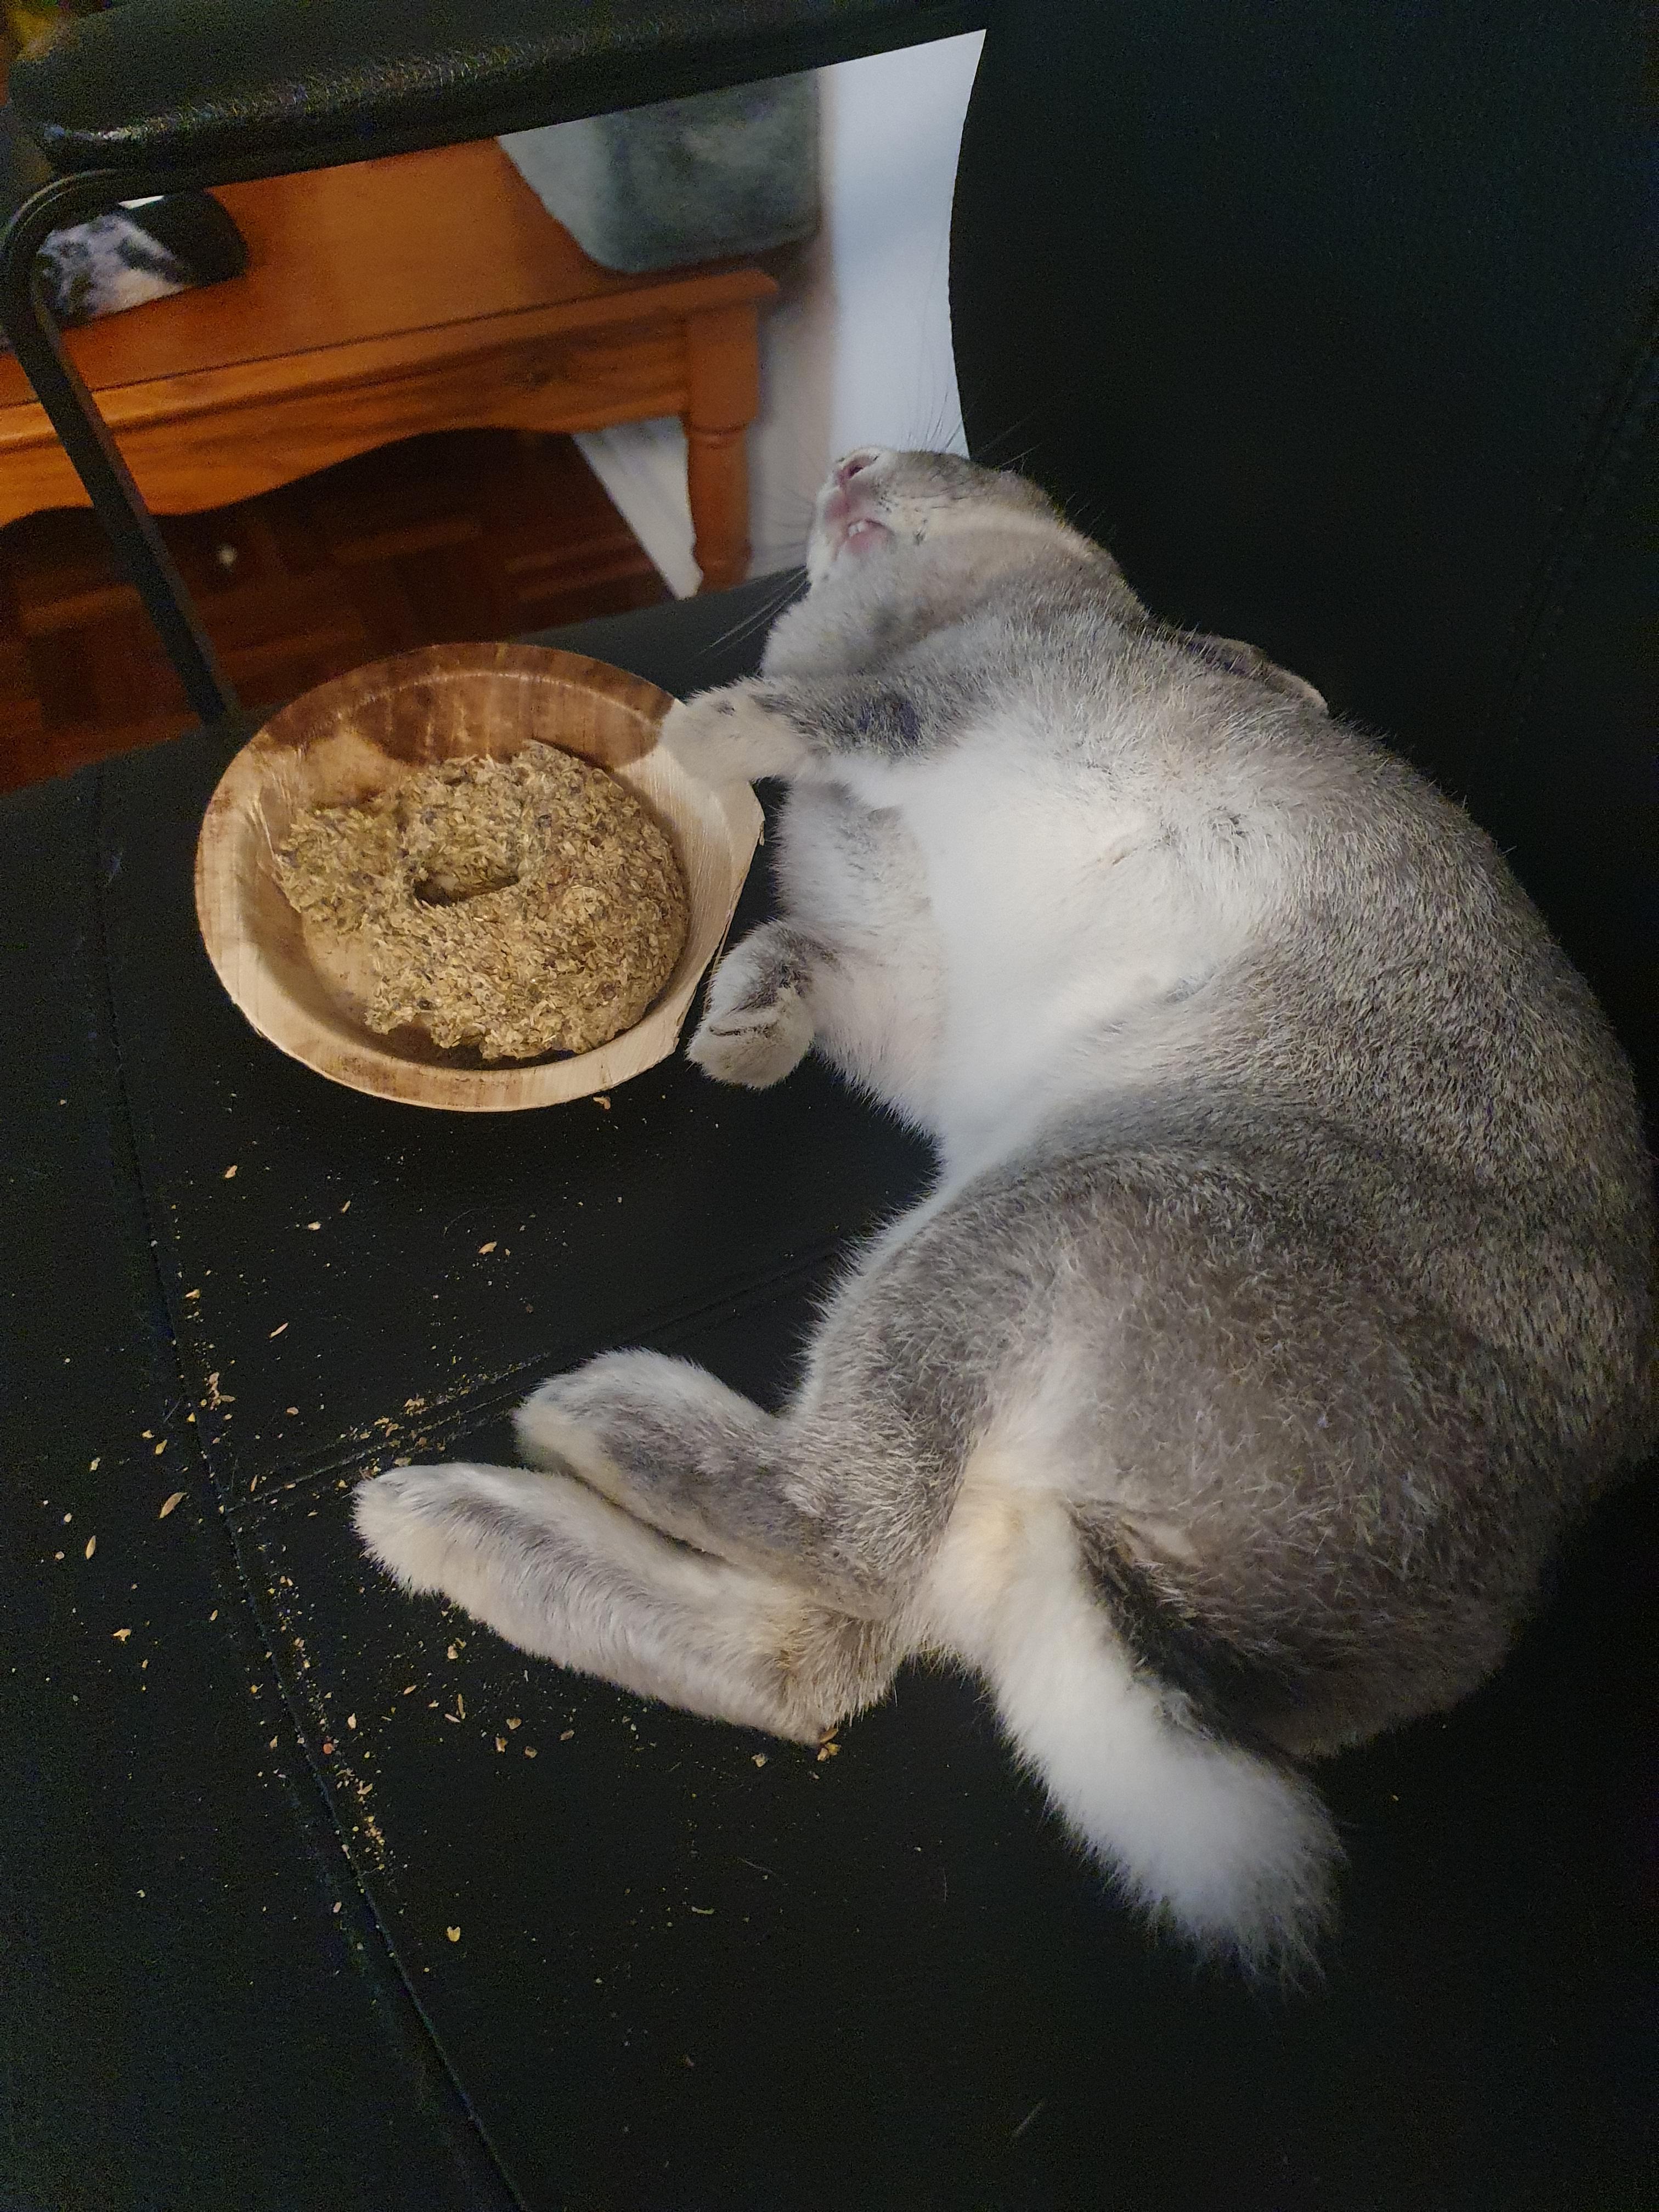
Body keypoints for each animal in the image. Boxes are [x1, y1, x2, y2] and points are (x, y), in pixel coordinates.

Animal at [355, 448, 1653, 1973]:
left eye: (983, 465)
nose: (855, 465)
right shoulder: (907, 998)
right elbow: (803, 949)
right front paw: (742, 1036)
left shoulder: (960, 707)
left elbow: (850, 714)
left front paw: (707, 735)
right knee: (818, 1659)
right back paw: (439, 1520)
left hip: (1044, 1224)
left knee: (842, 1537)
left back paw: (588, 1420)